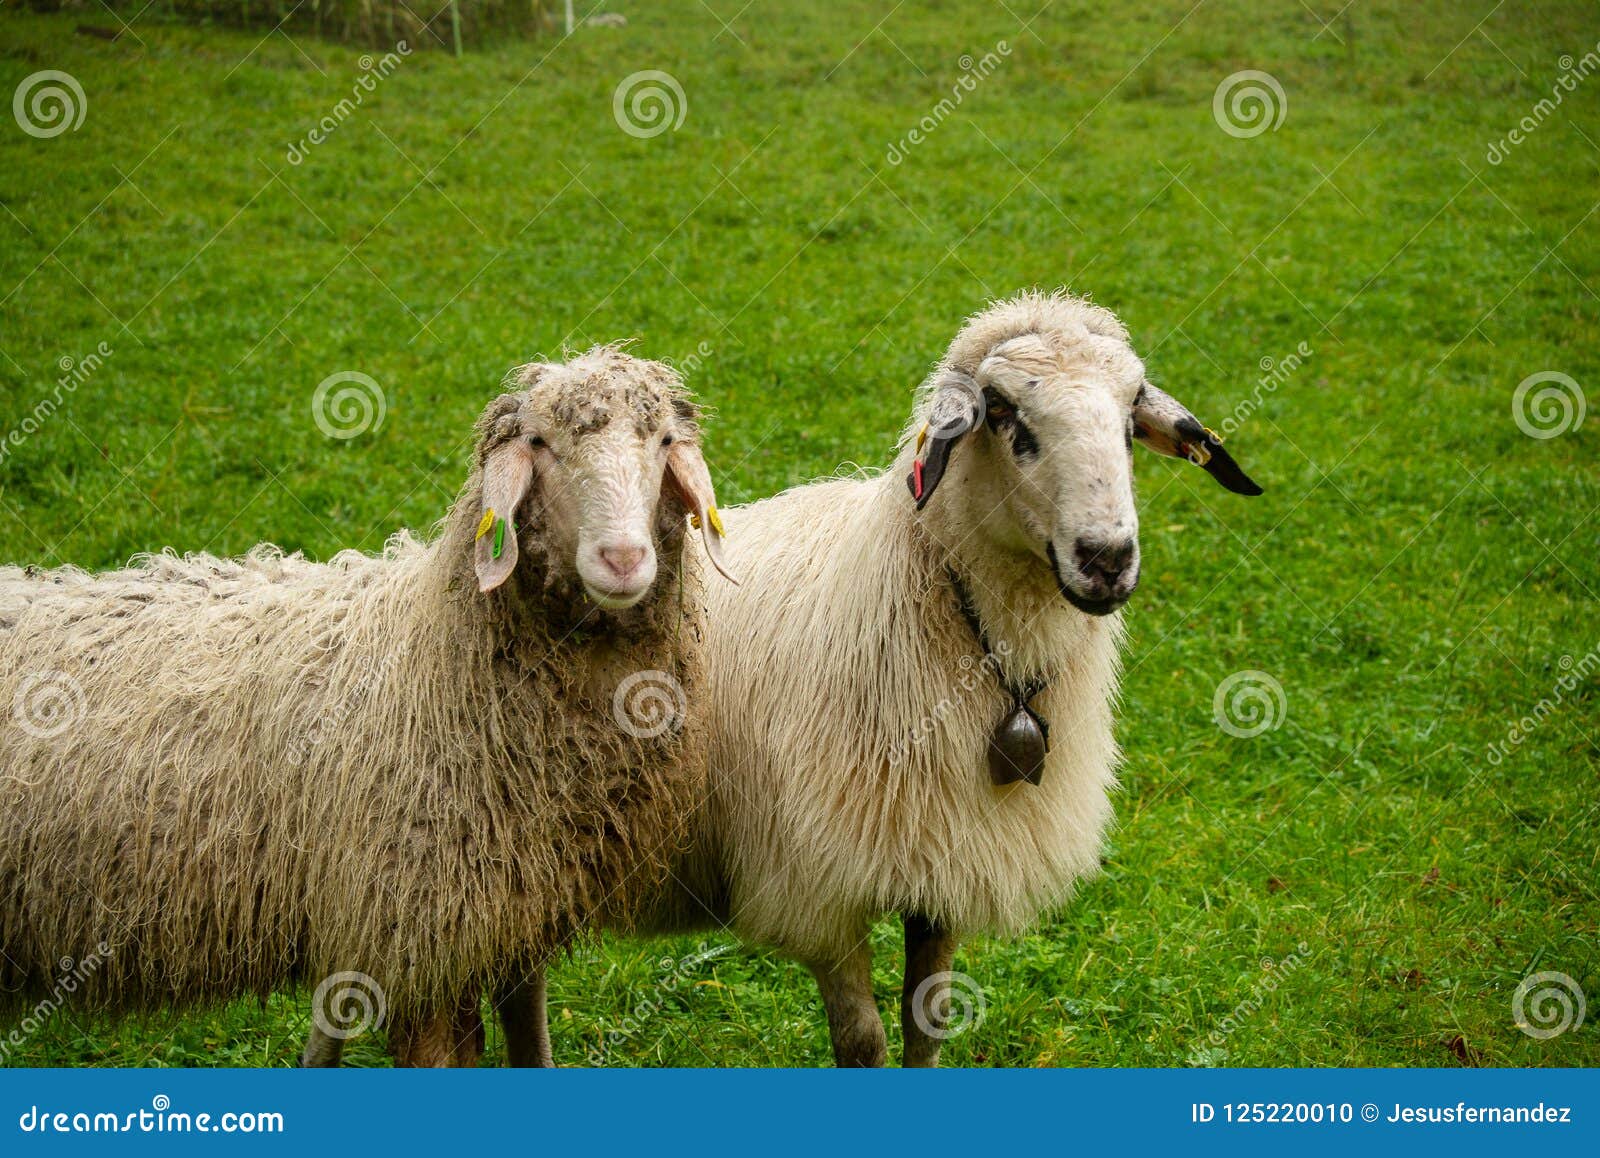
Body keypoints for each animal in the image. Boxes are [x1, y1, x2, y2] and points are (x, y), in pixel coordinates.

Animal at [0, 346, 736, 1067]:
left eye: (664, 441)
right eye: (539, 443)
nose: (623, 558)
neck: (435, 653)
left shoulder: (509, 912)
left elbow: (531, 1044)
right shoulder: (413, 929)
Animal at [303, 289, 1262, 1069]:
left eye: (1130, 416)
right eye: (1004, 415)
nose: (1107, 560)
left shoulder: (942, 857)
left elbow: (926, 1030)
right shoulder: (820, 886)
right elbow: (862, 1043)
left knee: (517, 989)